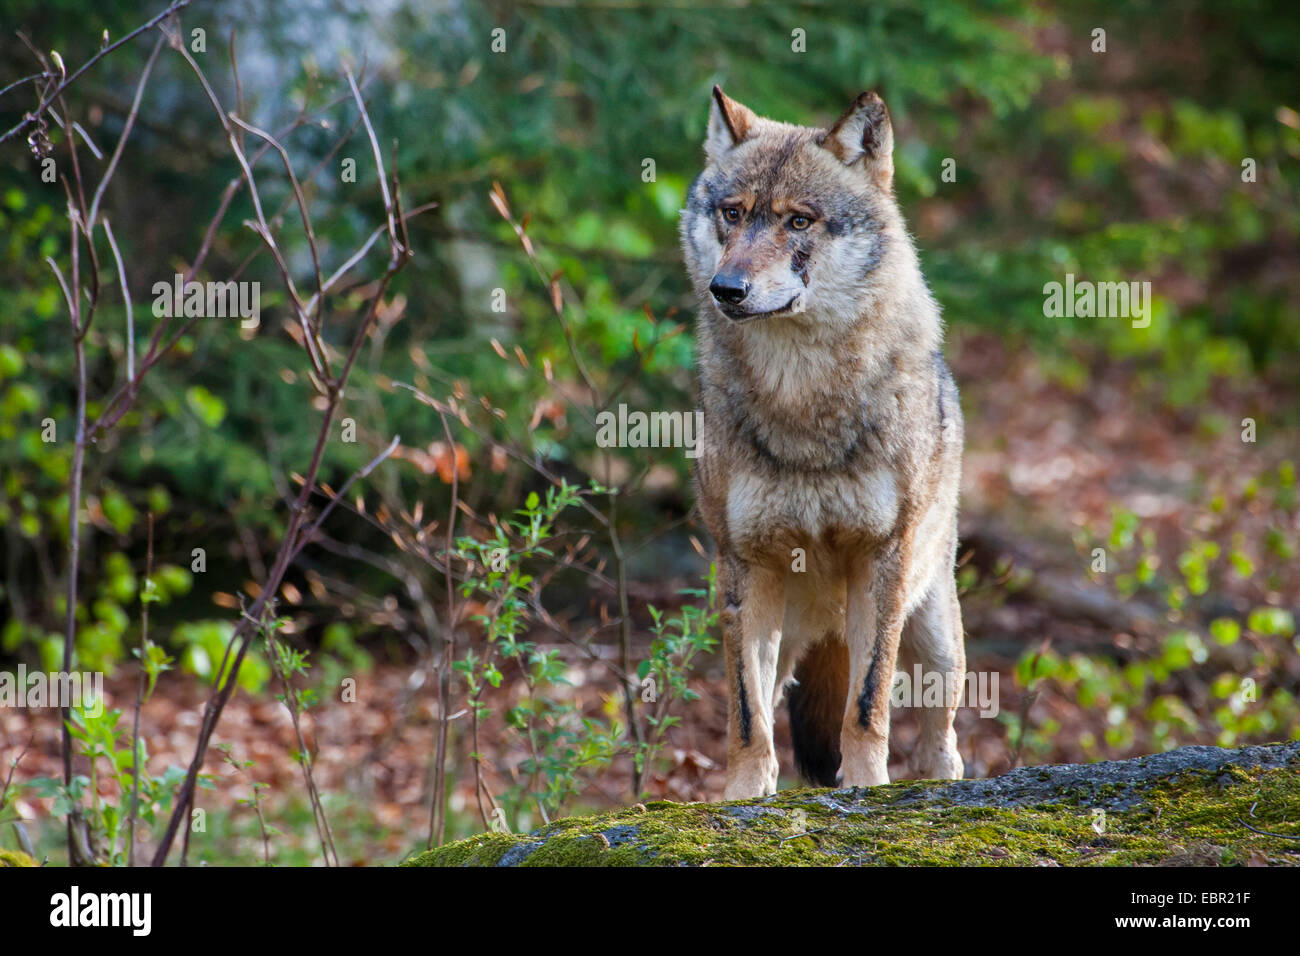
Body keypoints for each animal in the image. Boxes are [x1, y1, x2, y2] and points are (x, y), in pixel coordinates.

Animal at [680, 87, 966, 798]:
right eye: (733, 213)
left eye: (799, 222)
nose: (726, 288)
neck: (800, 401)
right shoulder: (745, 566)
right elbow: (747, 715)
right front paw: (742, 796)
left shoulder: (880, 560)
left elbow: (866, 707)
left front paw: (867, 787)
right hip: (787, 638)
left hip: (936, 640)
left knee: (941, 740)